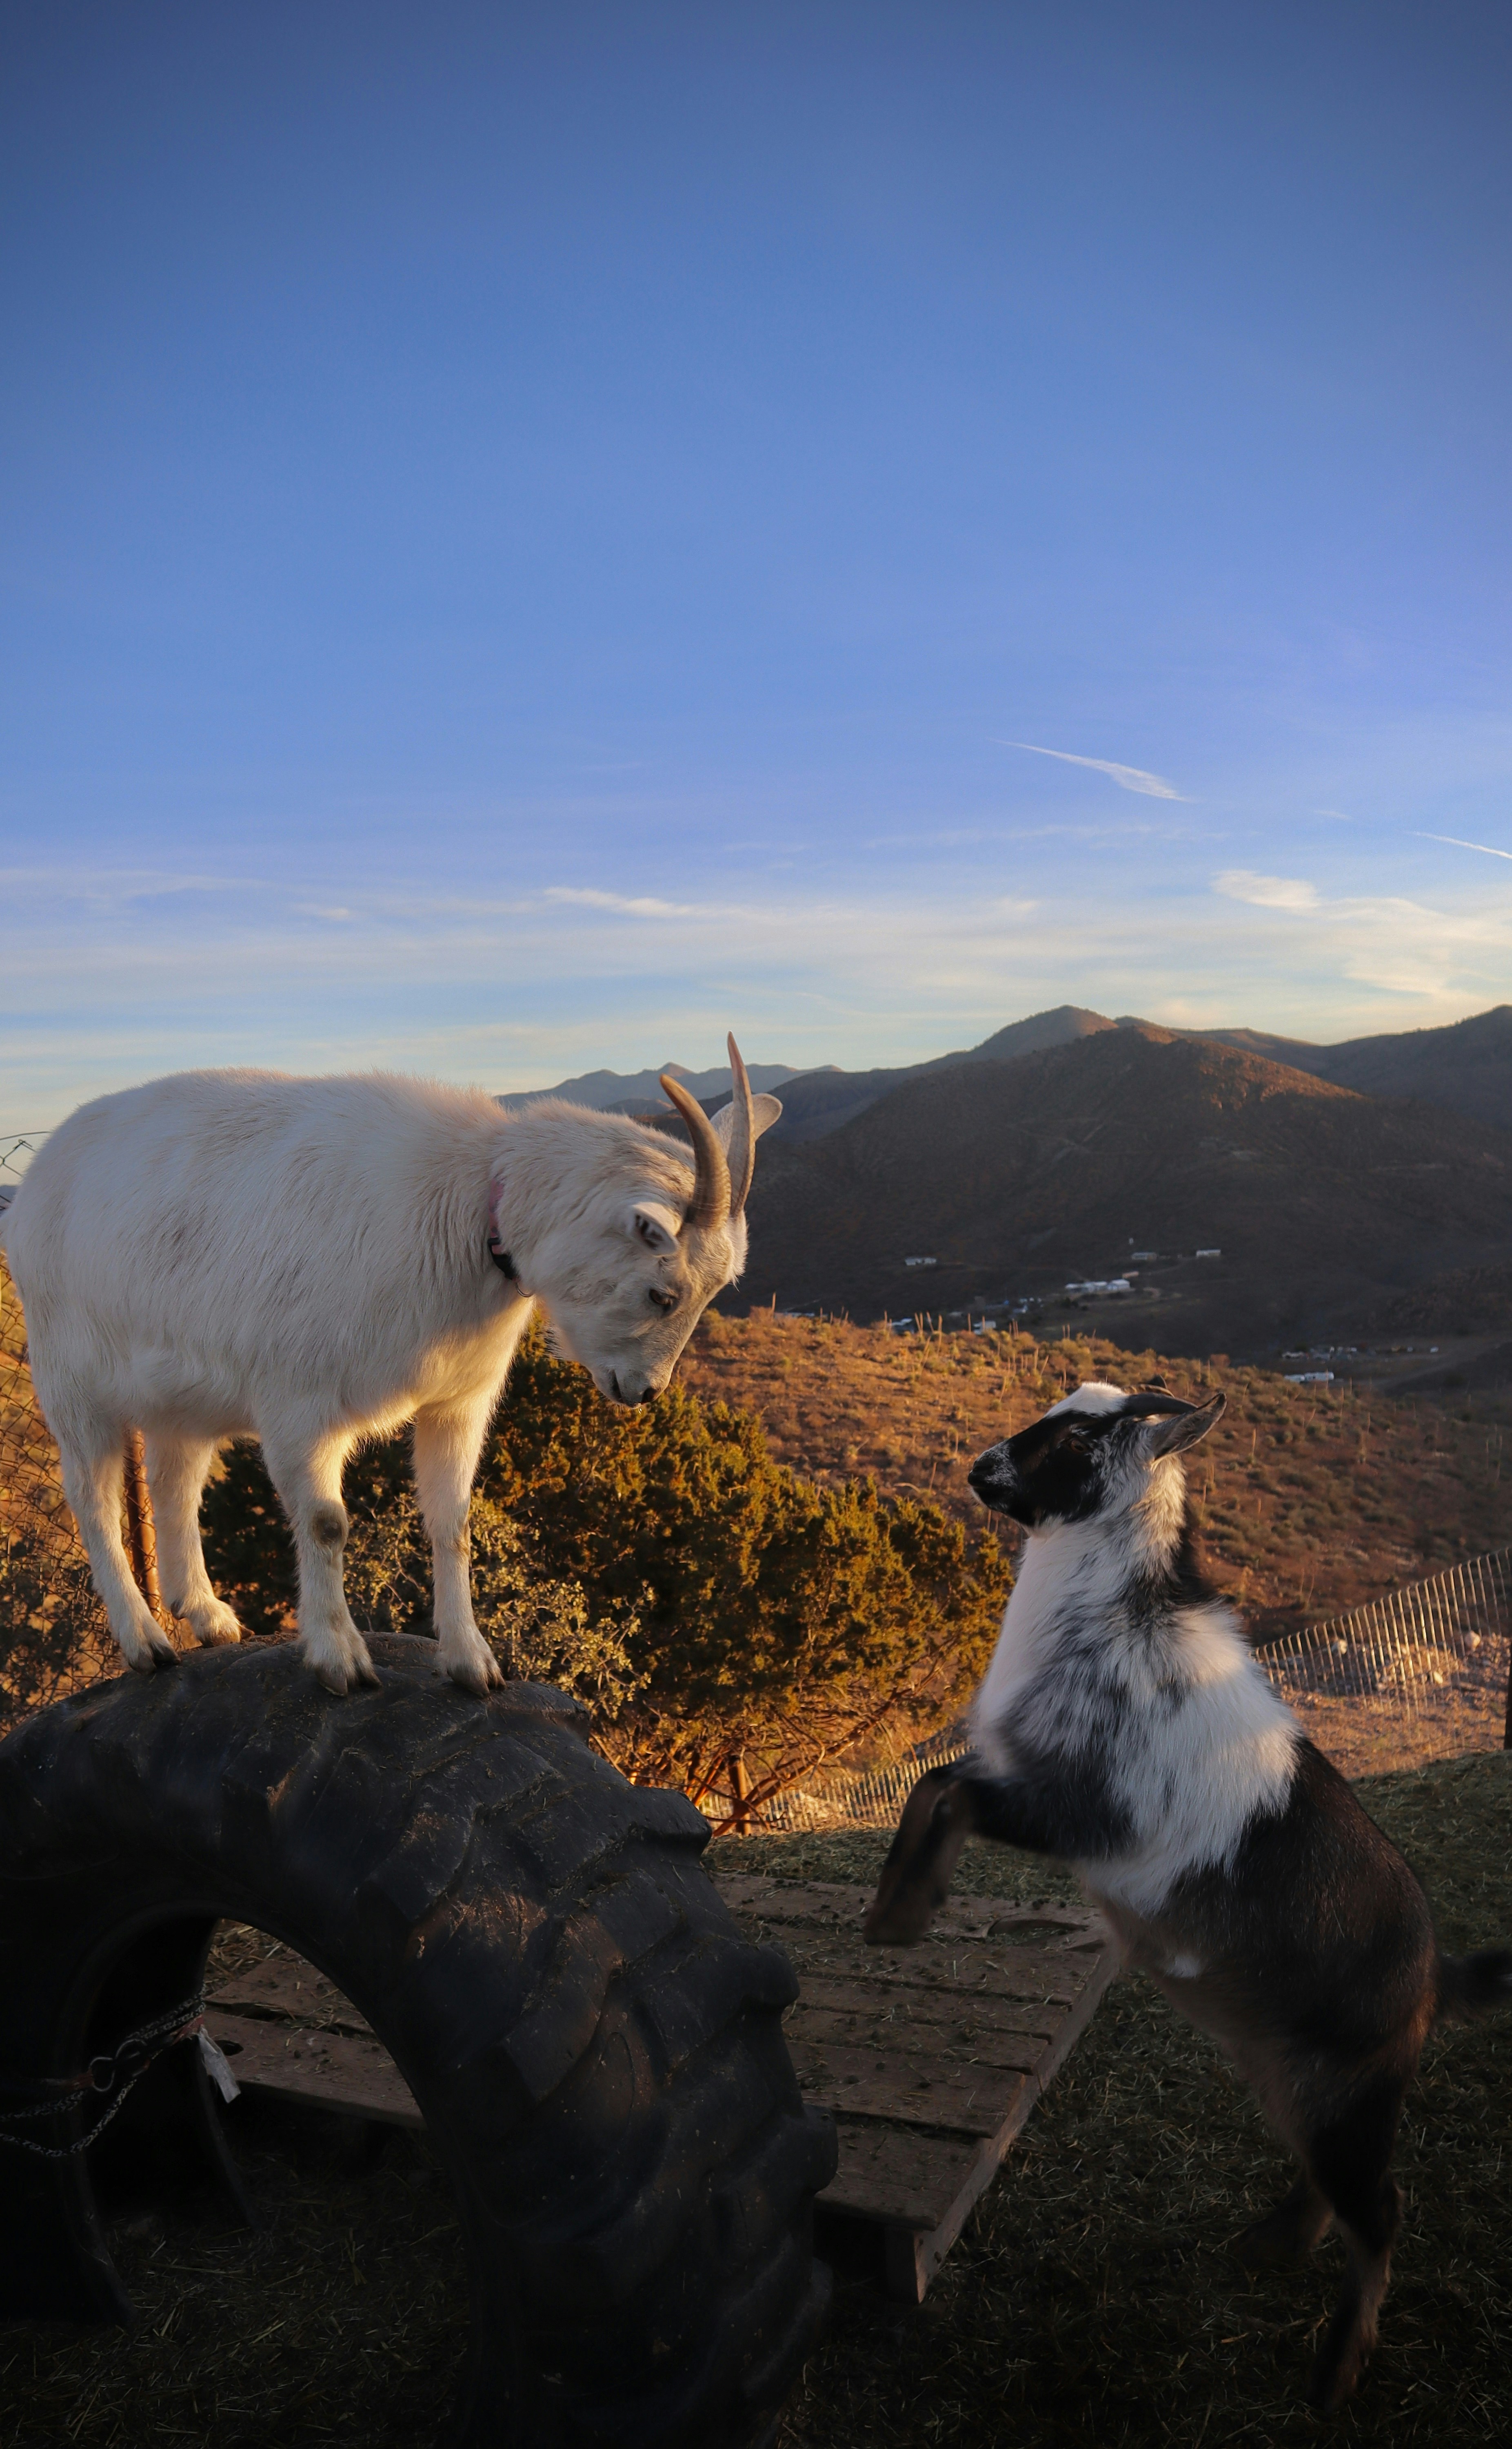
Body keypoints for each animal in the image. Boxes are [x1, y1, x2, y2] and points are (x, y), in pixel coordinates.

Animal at [1, 1039, 778, 1697]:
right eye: (663, 1293)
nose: (643, 1392)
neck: (471, 1205)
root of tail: (41, 1174)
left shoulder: (458, 1401)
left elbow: (453, 1523)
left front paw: (472, 1664)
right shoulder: (299, 1402)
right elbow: (325, 1525)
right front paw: (339, 1660)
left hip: (180, 1393)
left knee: (174, 1479)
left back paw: (208, 1615)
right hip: (70, 1378)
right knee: (93, 1497)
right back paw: (144, 1641)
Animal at [865, 1379, 1512, 2412]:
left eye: (1079, 1438)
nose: (980, 1470)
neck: (1120, 1619)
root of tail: (1434, 1978)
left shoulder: (1081, 1817)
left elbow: (948, 1791)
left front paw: (904, 1916)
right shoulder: (1026, 1782)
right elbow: (933, 1782)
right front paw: (889, 1916)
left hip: (1349, 2092)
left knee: (1381, 2210)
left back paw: (1337, 2371)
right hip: (1297, 2079)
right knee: (1333, 2191)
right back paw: (1269, 2248)